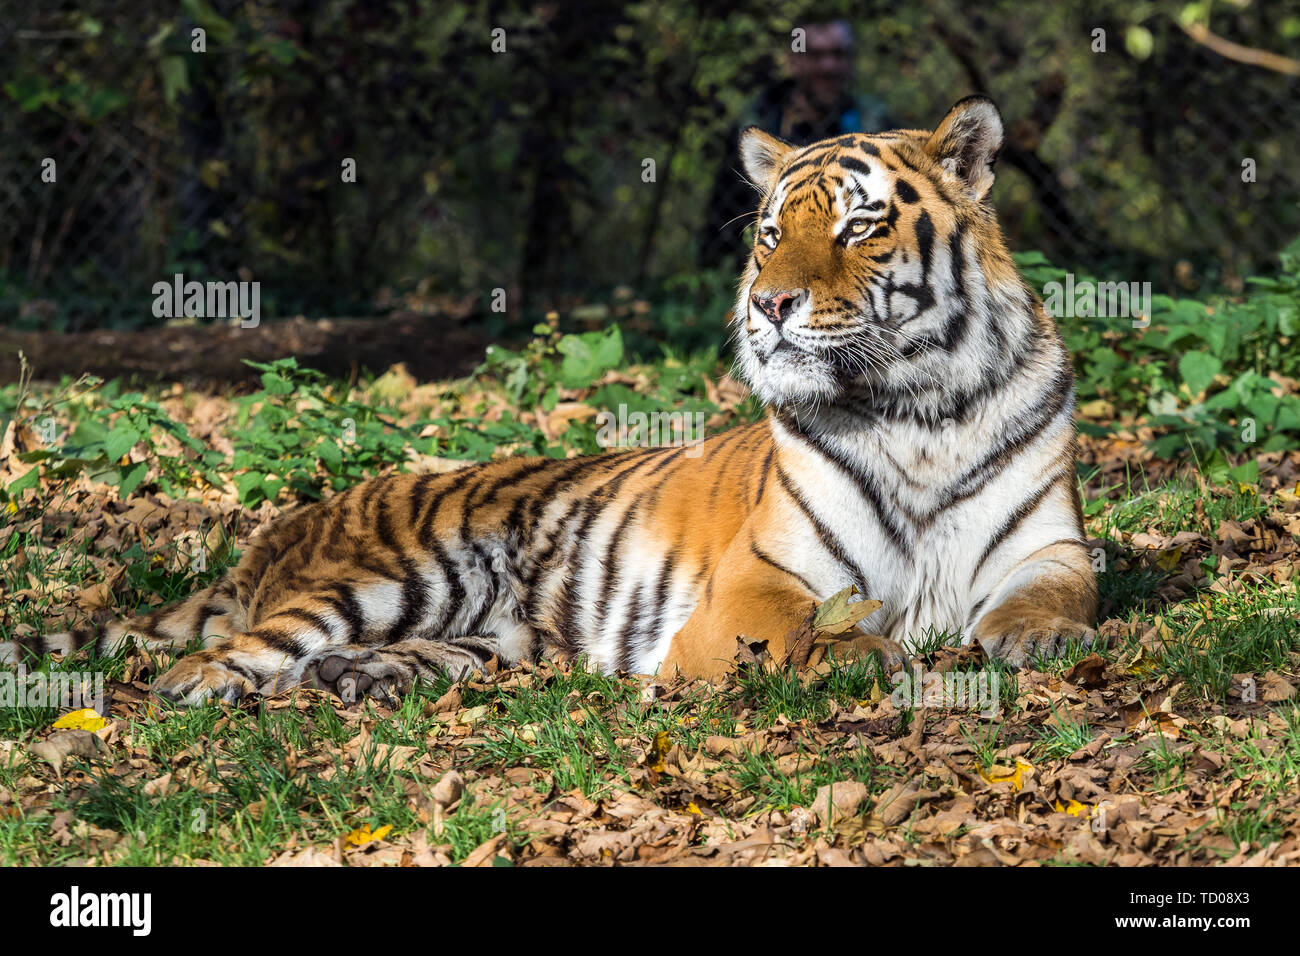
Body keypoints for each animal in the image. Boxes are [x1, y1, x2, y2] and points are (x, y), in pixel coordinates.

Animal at [4, 96, 1097, 705]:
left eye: (860, 228)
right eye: (769, 232)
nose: (767, 303)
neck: (918, 410)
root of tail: (286, 525)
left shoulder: (1051, 548)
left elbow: (1051, 600)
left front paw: (1036, 638)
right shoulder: (760, 586)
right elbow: (810, 634)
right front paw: (878, 656)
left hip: (487, 628)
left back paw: (366, 678)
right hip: (389, 578)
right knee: (234, 653)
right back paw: (204, 688)